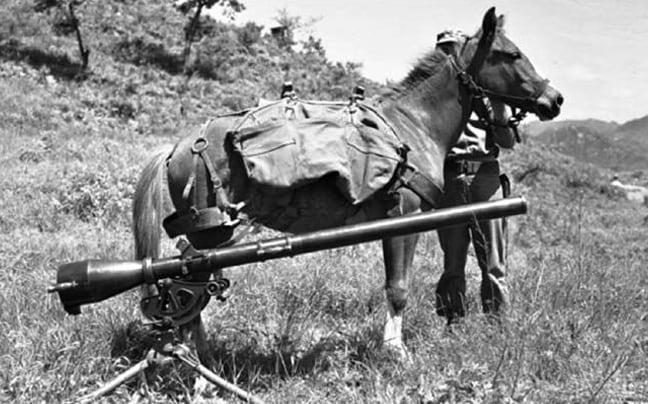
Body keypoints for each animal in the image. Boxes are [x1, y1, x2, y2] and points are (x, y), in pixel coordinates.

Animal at [133, 7, 563, 359]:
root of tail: (179, 147)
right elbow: (399, 288)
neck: (415, 123)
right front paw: (395, 352)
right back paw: (196, 353)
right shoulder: (403, 220)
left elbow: (396, 285)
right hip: (213, 235)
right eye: (510, 54)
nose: (555, 99)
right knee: (189, 287)